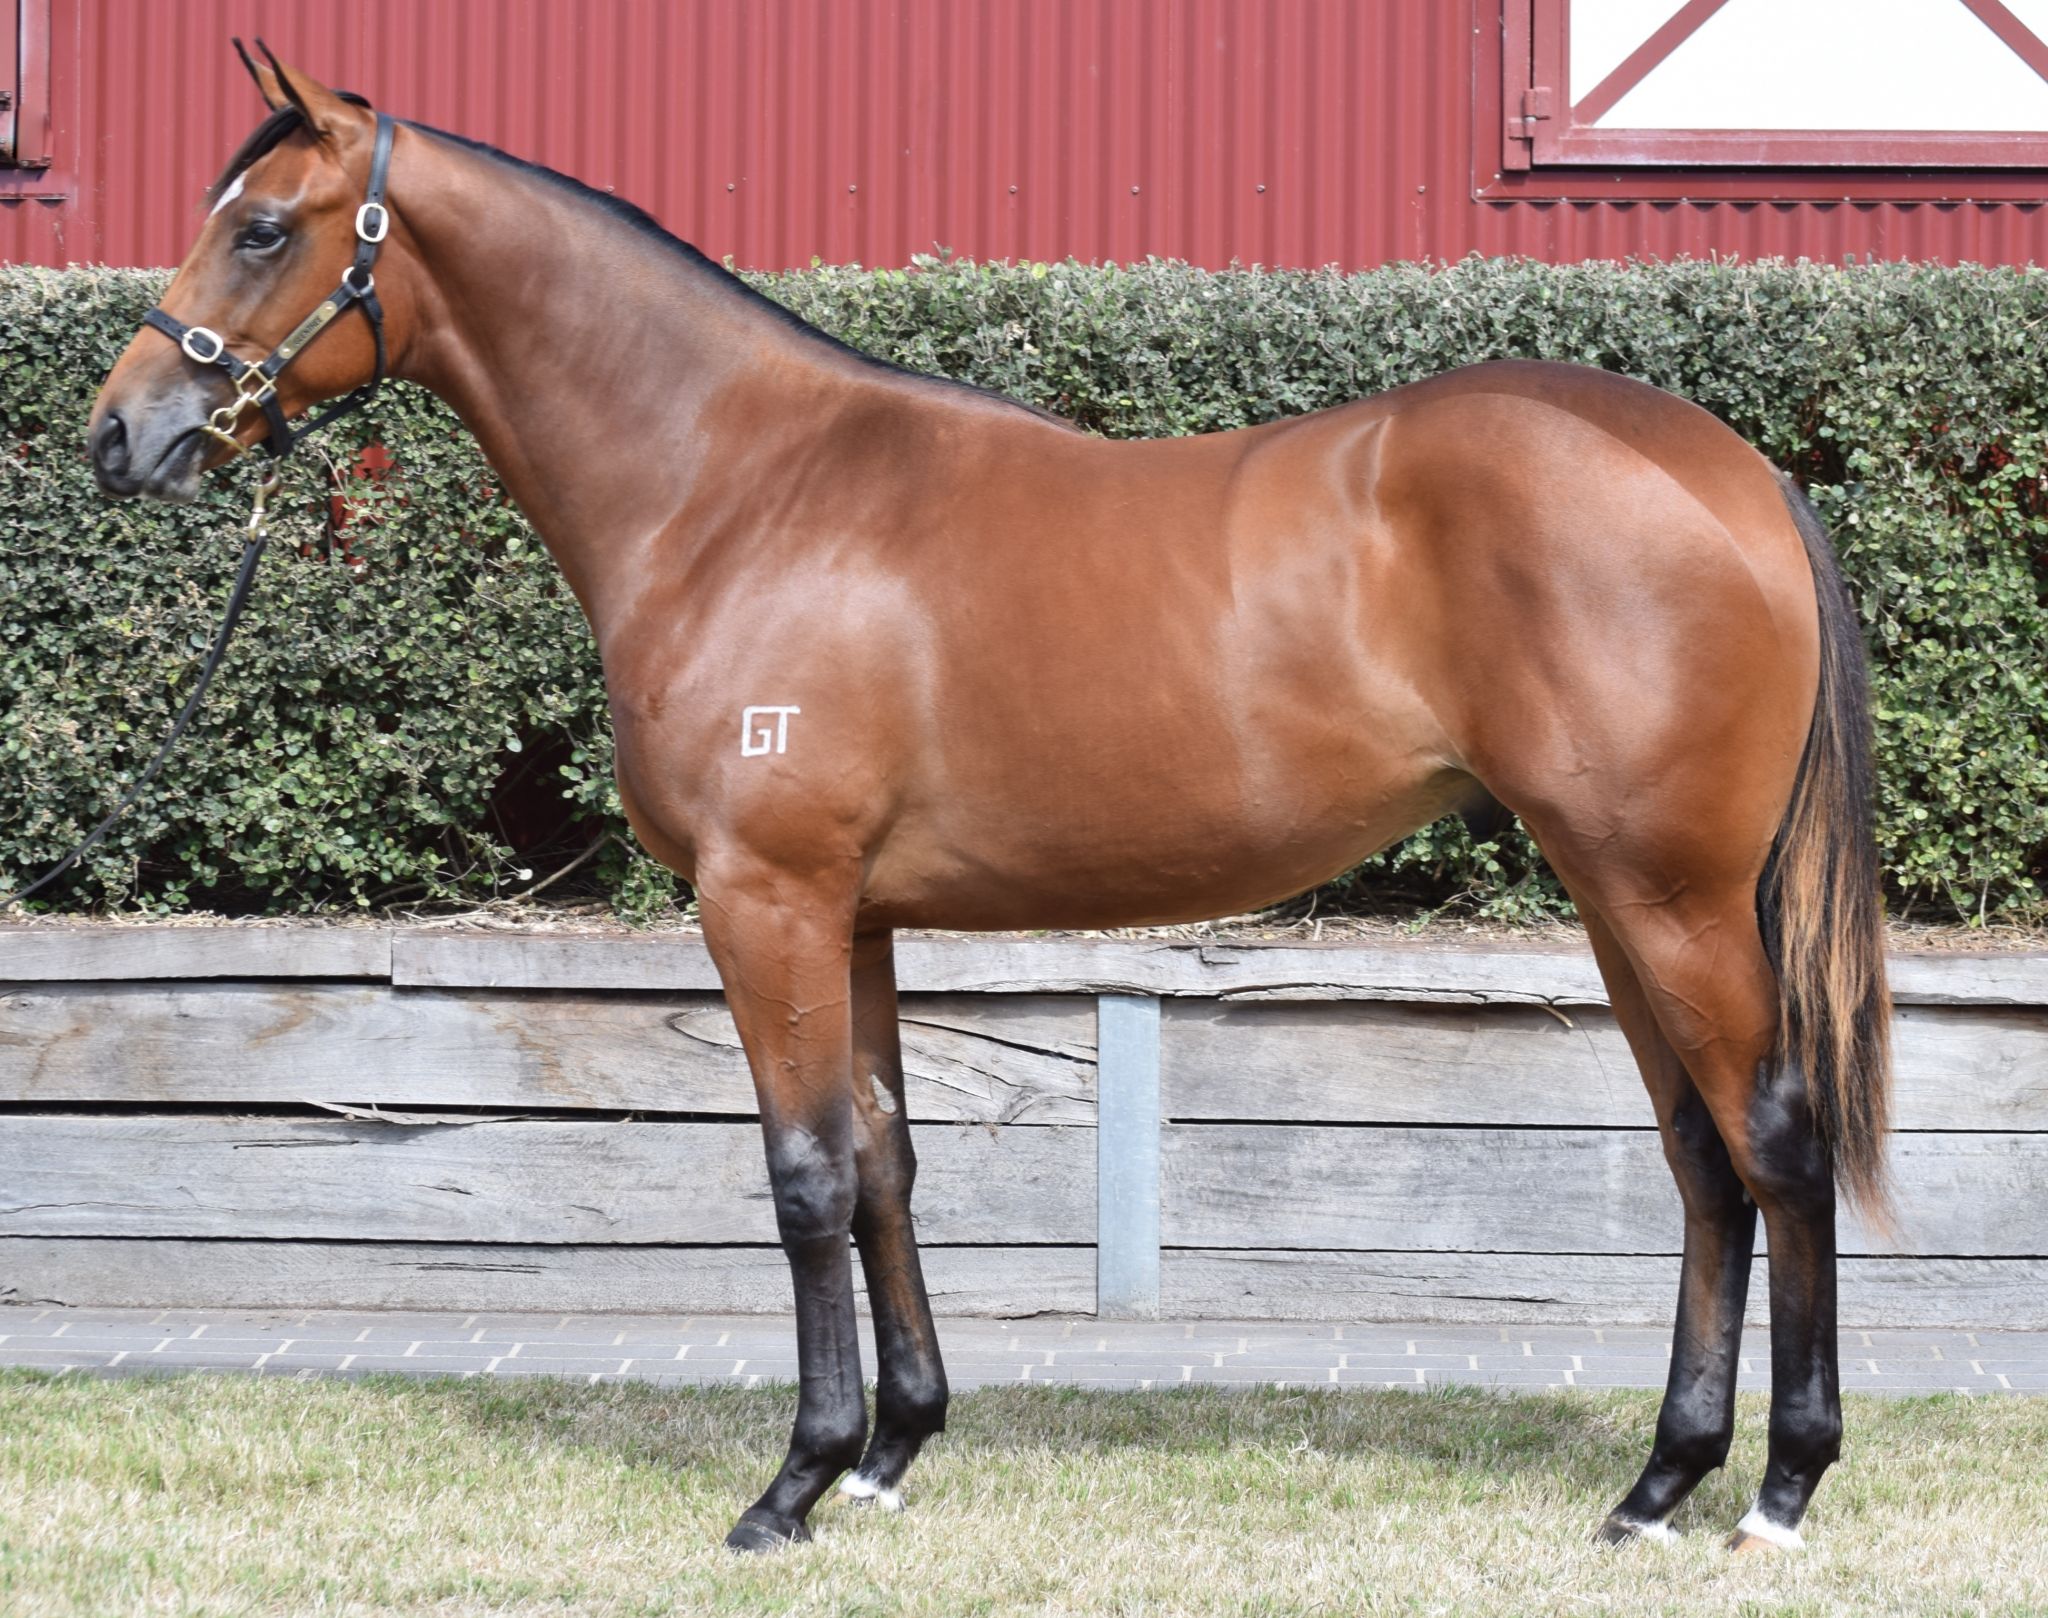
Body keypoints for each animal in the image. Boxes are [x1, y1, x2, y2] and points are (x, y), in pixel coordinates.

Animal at [87, 50, 1891, 1556]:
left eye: (259, 228)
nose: (121, 435)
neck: (734, 488)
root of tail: (1729, 470)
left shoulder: (765, 895)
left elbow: (806, 1174)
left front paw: (793, 1483)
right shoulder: (854, 912)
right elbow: (885, 1157)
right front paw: (891, 1451)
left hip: (1666, 894)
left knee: (1776, 1139)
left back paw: (1783, 1486)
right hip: (1618, 896)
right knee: (1700, 1156)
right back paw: (1659, 1481)